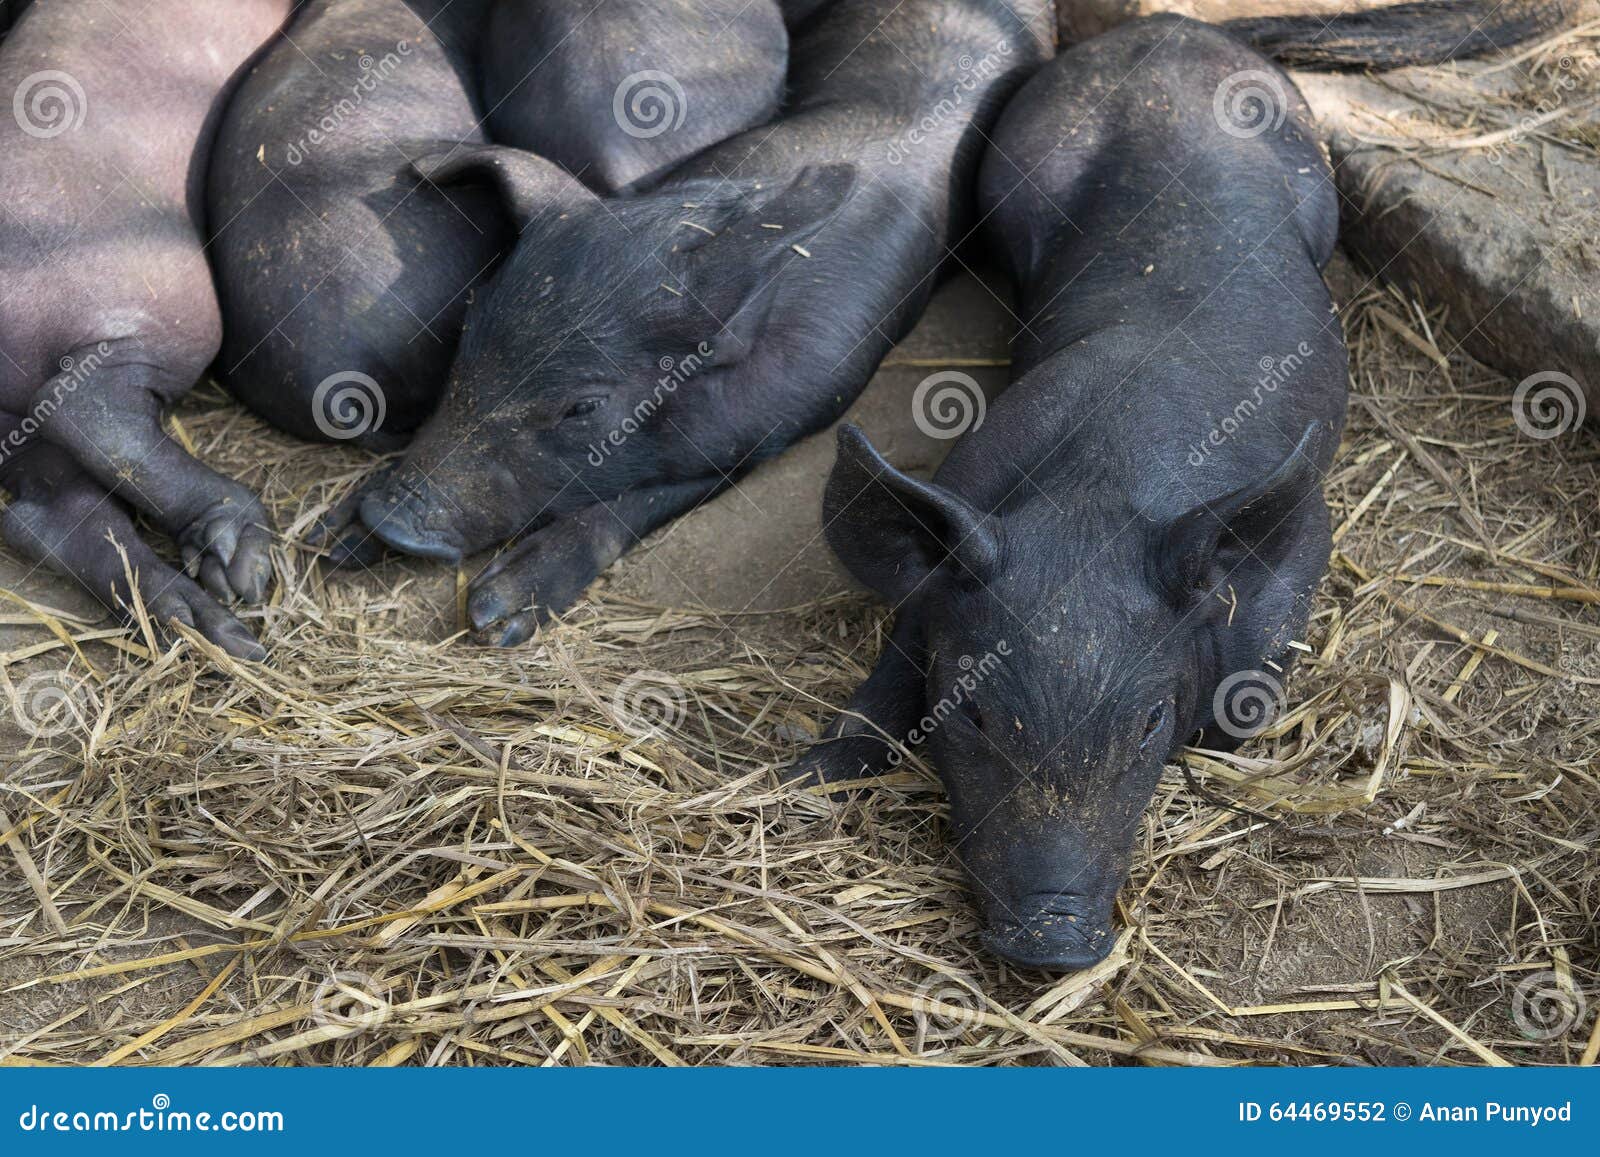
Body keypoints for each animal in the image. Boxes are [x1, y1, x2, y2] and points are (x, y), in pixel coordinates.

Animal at [0, 0, 293, 660]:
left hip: (20, 436)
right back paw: (243, 573)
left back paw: (211, 629)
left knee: (50, 516)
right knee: (87, 408)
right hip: (165, 296)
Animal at [795, 6, 1569, 970]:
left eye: (1149, 723)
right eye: (972, 717)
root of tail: (1163, 28)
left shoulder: (1305, 526)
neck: (1096, 489)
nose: (1052, 938)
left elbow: (1244, 706)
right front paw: (809, 767)